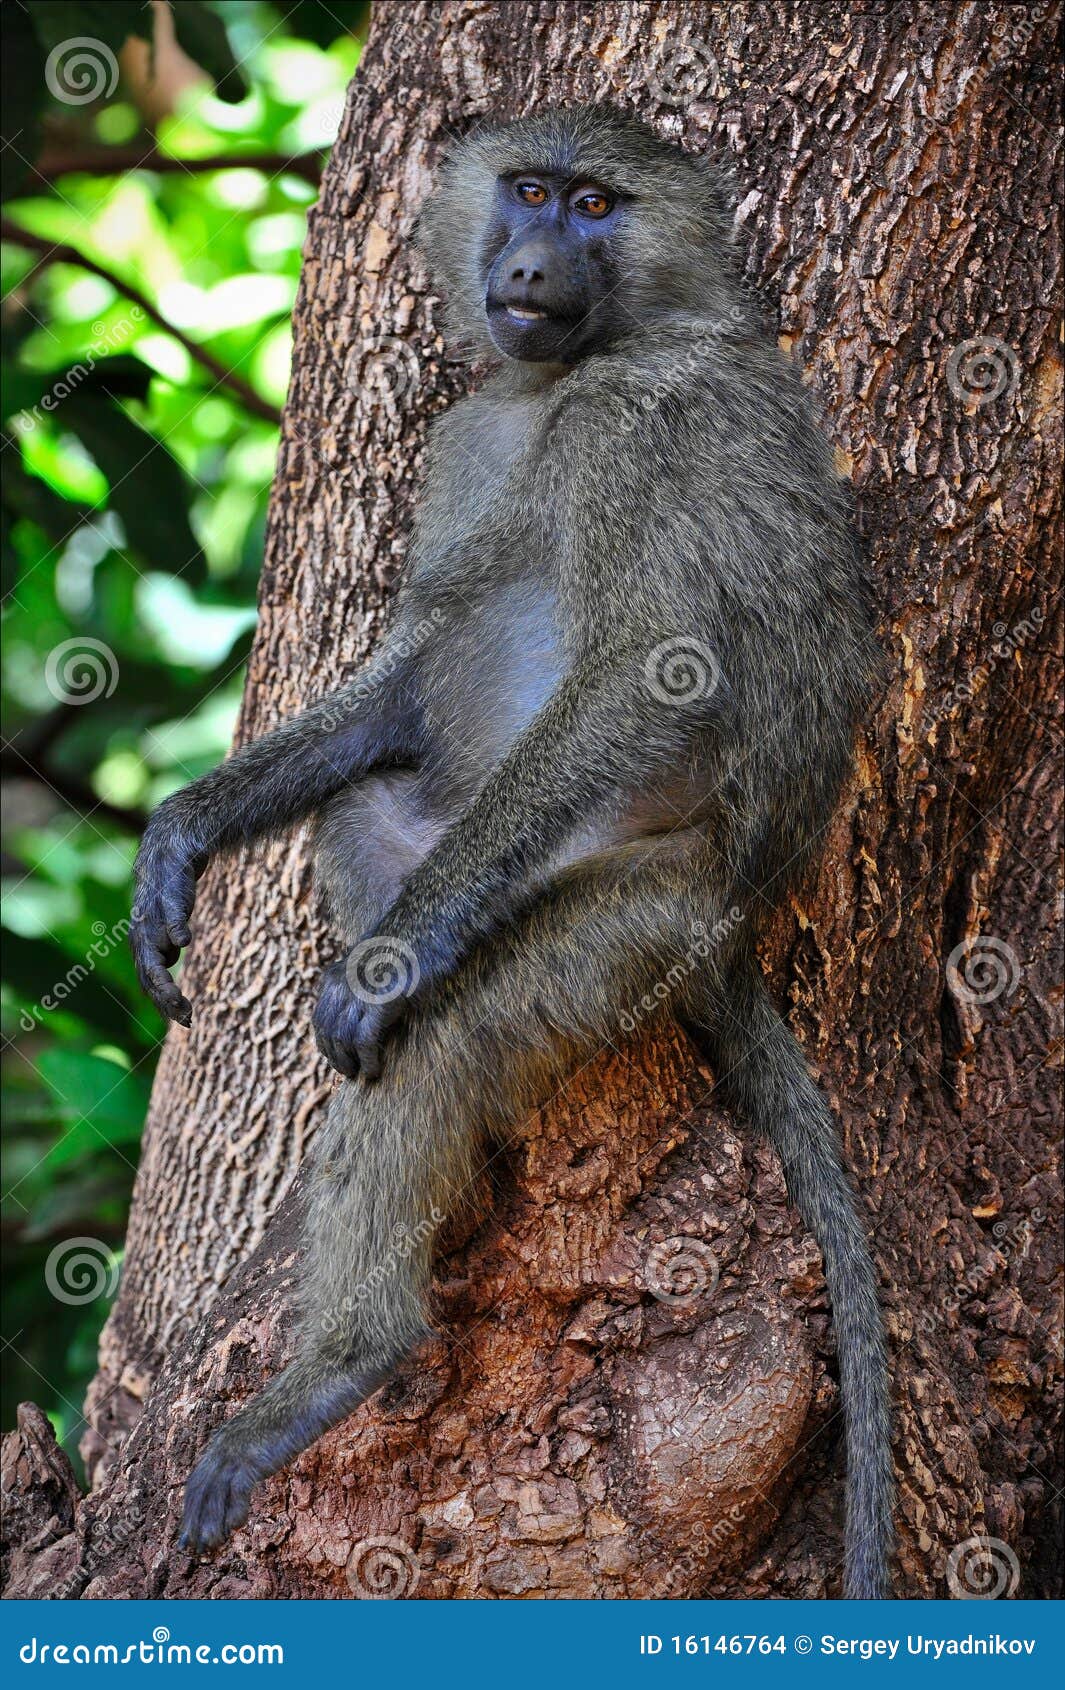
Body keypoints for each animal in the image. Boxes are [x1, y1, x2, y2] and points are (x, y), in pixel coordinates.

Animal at [130, 105, 893, 1598]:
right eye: (530, 190)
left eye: (596, 205)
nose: (534, 265)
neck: (575, 372)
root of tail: (736, 920)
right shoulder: (471, 433)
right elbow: (410, 670)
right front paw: (181, 834)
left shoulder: (629, 426)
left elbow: (653, 668)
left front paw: (380, 976)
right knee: (368, 814)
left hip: (636, 924)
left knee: (442, 1038)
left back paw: (353, 1351)